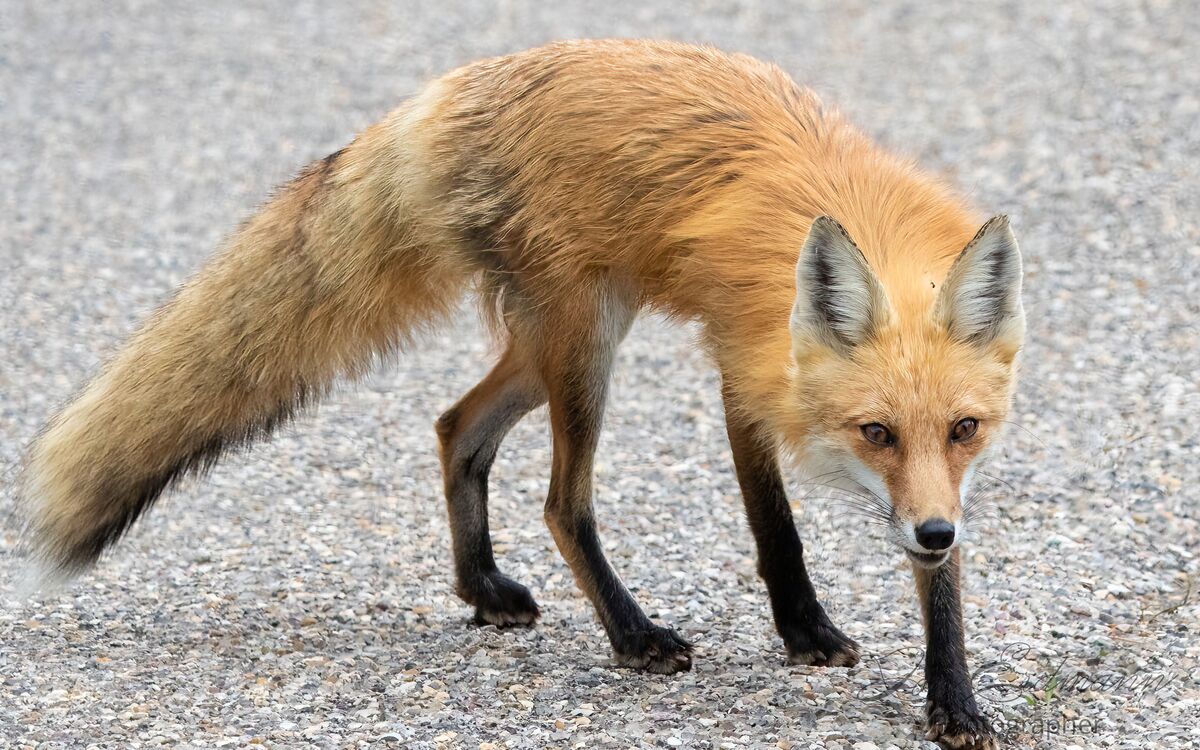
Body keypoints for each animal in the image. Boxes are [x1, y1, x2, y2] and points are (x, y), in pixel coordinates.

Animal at [20, 40, 1023, 749]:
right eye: (874, 431)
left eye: (965, 428)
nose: (935, 531)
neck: (865, 221)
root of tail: (456, 87)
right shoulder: (744, 374)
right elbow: (776, 528)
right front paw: (805, 631)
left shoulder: (935, 484)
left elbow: (942, 591)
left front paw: (954, 699)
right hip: (585, 347)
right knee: (560, 503)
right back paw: (631, 635)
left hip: (553, 346)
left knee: (455, 426)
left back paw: (481, 586)